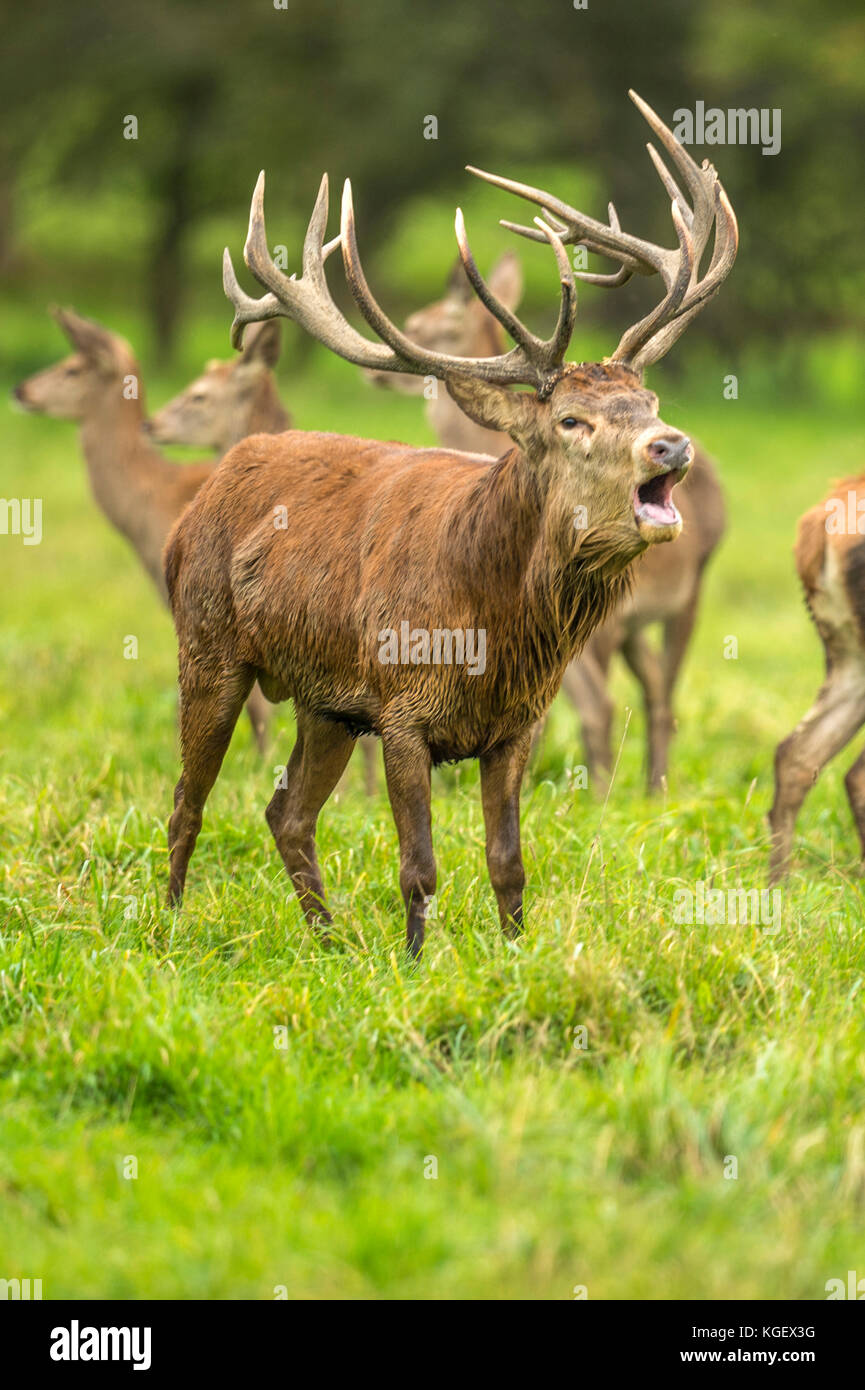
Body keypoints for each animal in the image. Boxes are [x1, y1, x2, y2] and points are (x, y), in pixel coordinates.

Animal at [366, 254, 726, 792]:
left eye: (428, 324)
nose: (672, 445)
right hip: (634, 624)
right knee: (655, 695)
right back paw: (648, 788)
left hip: (683, 596)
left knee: (619, 700)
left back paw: (615, 790)